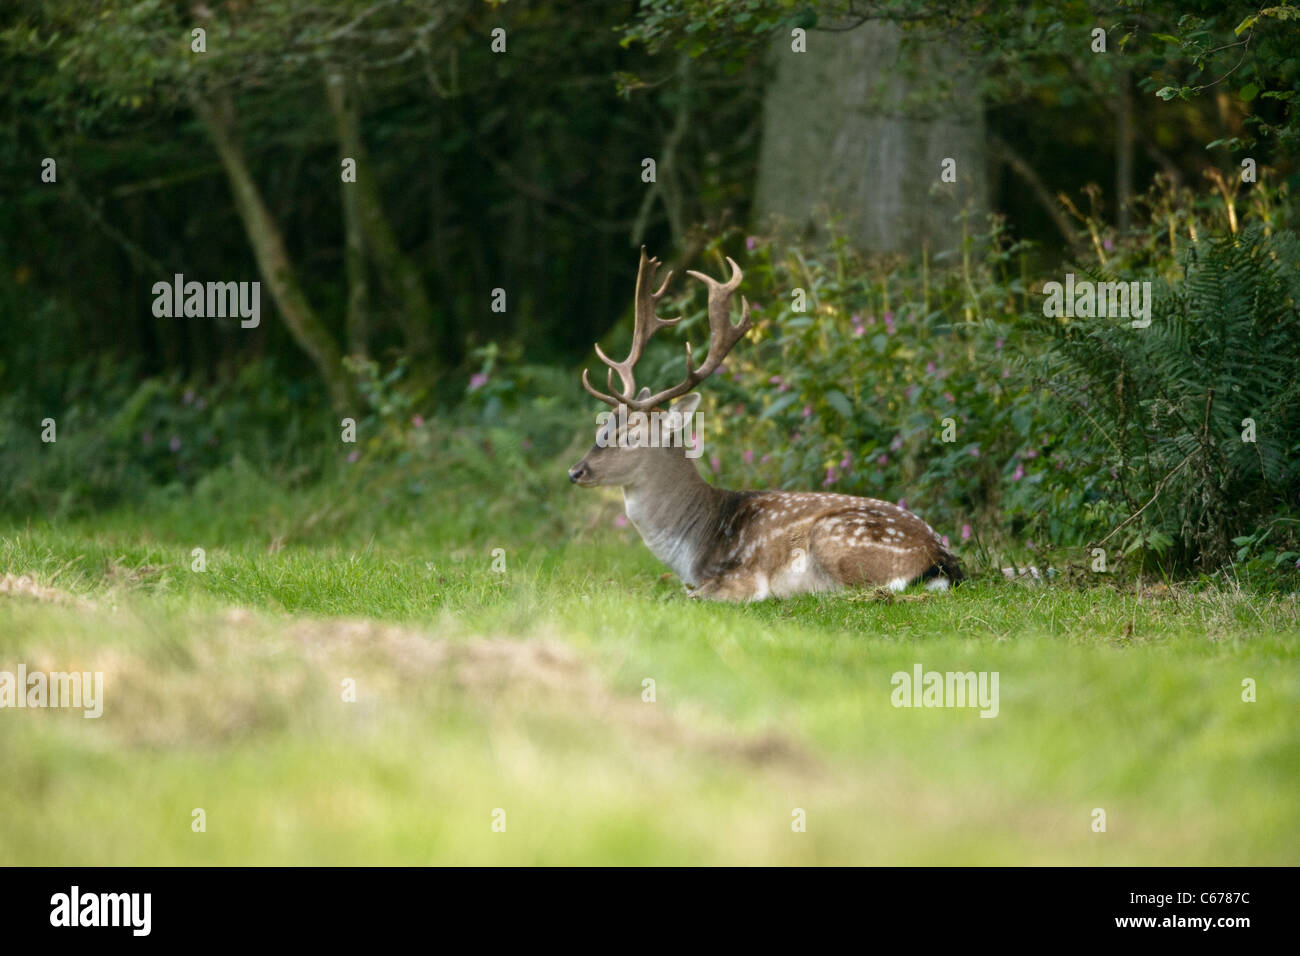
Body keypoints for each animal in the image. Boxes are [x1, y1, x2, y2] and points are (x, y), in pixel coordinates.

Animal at [568, 247, 964, 602]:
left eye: (632, 436)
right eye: (603, 427)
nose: (576, 471)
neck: (693, 550)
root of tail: (943, 562)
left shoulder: (742, 575)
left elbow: (691, 596)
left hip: (836, 538)